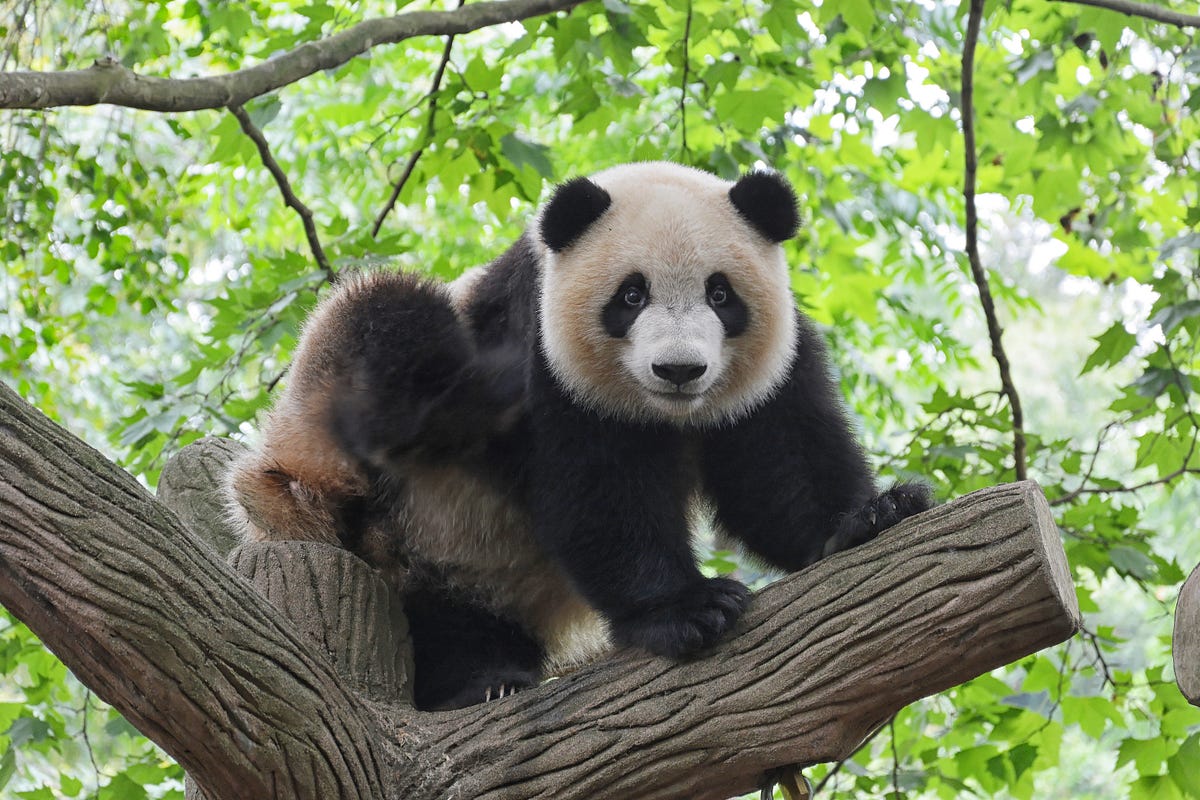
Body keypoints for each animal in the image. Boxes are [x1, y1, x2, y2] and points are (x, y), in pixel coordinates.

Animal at [226, 161, 933, 711]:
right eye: (630, 296)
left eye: (721, 294)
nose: (679, 370)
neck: (666, 415)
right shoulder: (545, 359)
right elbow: (599, 493)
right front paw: (689, 608)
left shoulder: (770, 371)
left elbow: (779, 468)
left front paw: (871, 515)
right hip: (343, 464)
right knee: (385, 317)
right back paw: (476, 685)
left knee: (454, 617)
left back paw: (487, 673)